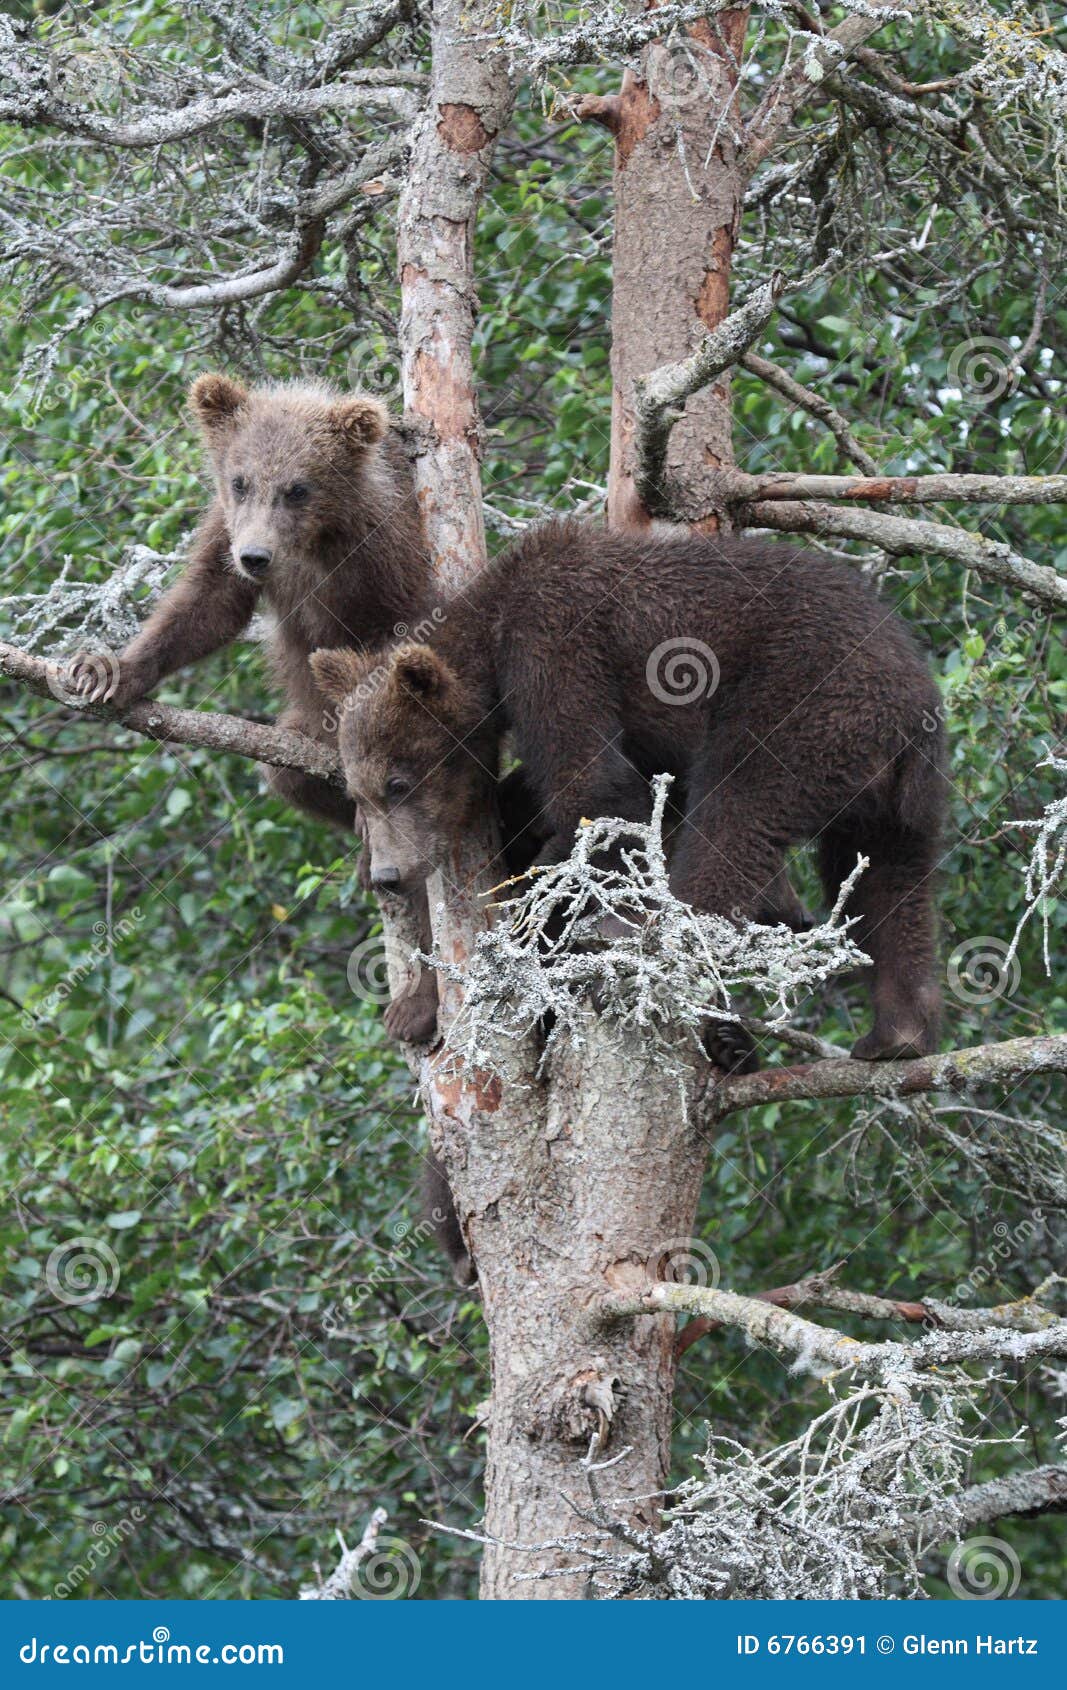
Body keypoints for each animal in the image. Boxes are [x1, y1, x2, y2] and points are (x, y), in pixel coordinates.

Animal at [311, 517, 947, 1065]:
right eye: (359, 794)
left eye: (398, 783)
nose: (389, 874)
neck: (493, 630)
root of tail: (911, 708)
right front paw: (413, 1004)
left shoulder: (557, 644)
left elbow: (595, 790)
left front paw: (534, 926)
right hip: (896, 793)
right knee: (891, 882)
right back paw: (898, 1033)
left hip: (802, 702)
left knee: (735, 815)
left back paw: (656, 943)